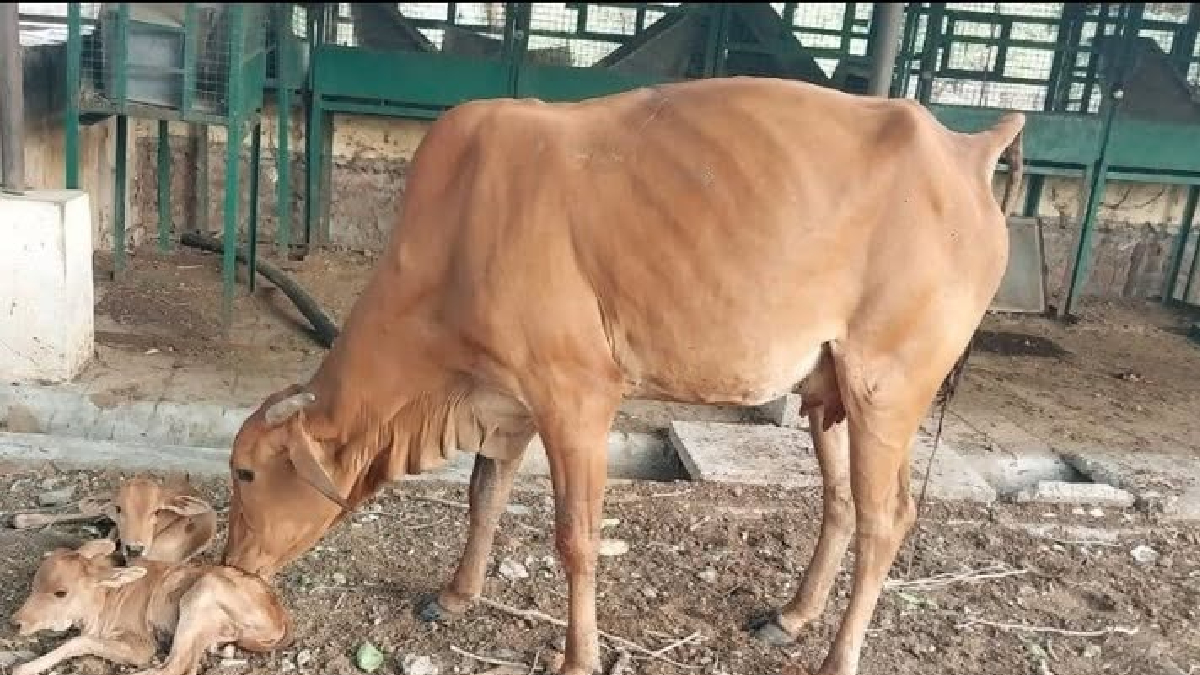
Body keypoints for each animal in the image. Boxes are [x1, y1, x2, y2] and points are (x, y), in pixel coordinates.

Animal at [9, 538, 291, 675]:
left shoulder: (141, 645)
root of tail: (280, 617)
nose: (15, 623)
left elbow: (78, 641)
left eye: (61, 593)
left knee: (176, 667)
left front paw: (25, 668)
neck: (106, 599)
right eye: (34, 583)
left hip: (201, 595)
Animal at [220, 76, 1024, 675]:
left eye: (246, 473)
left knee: (886, 518)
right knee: (840, 505)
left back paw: (836, 656)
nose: (231, 562)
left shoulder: (575, 397)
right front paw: (454, 596)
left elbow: (575, 536)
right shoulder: (507, 400)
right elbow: (483, 498)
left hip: (885, 385)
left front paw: (578, 657)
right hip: (827, 390)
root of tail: (964, 150)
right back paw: (791, 617)